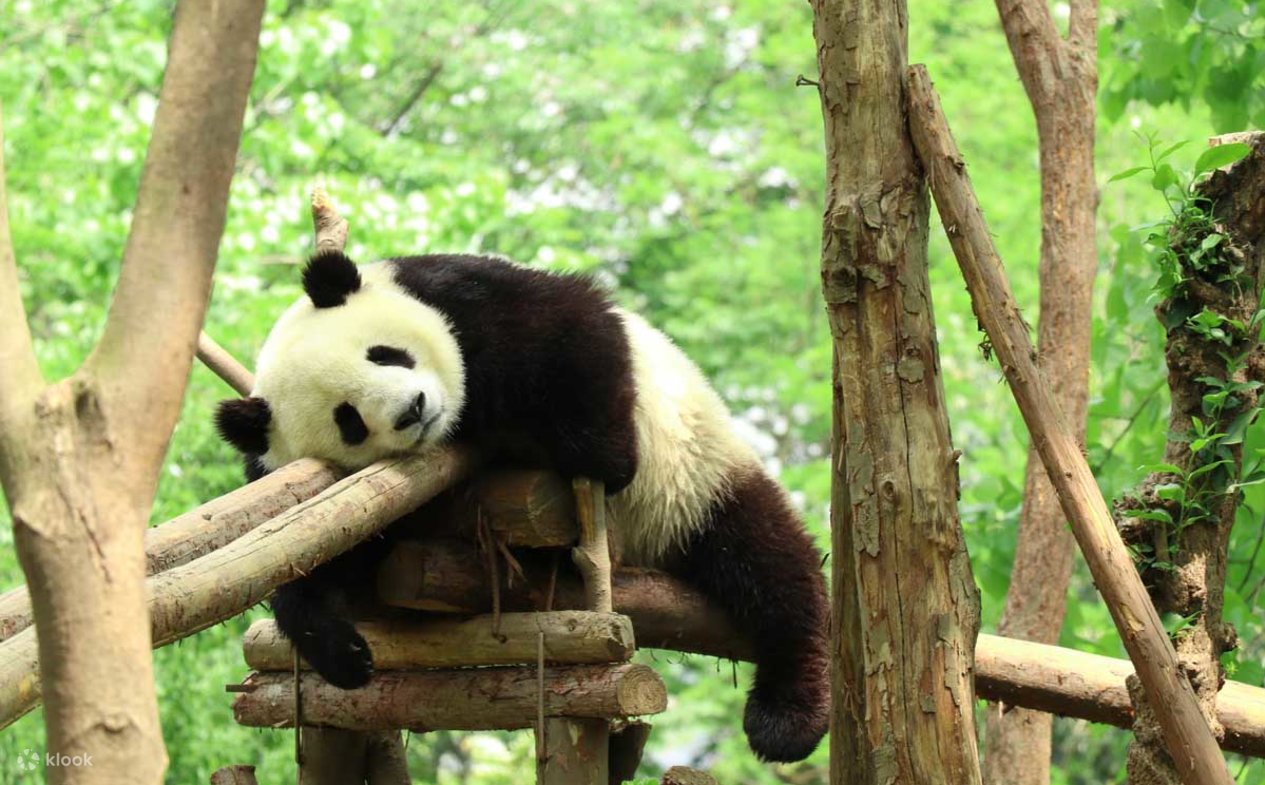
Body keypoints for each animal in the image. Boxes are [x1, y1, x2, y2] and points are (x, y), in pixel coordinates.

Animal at [215, 250, 829, 763]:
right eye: (349, 420)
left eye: (385, 355)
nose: (413, 409)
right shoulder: (294, 480)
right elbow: (308, 560)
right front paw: (344, 652)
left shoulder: (463, 297)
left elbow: (573, 328)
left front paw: (604, 457)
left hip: (694, 477)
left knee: (772, 571)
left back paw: (786, 719)